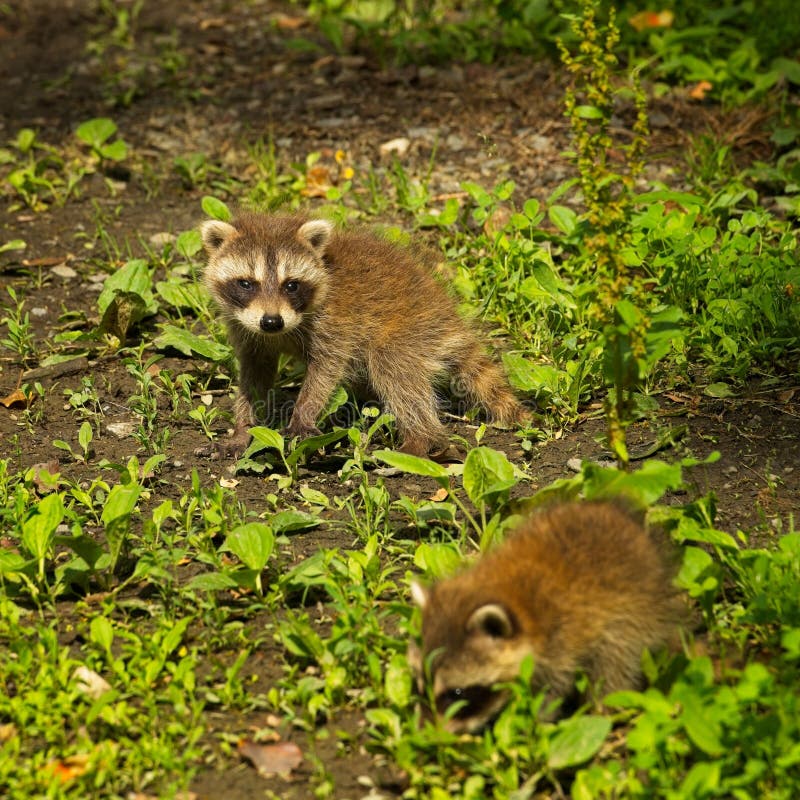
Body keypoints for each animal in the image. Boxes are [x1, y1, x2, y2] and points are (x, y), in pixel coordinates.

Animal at [200, 211, 527, 457]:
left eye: (291, 285)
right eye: (246, 283)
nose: (271, 322)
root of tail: (446, 314)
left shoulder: (335, 320)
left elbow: (327, 369)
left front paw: (303, 413)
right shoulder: (245, 328)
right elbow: (254, 377)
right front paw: (243, 427)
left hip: (413, 329)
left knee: (393, 368)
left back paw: (420, 438)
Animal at [409, 501, 685, 733]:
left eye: (457, 693)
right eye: (419, 684)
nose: (424, 733)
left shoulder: (559, 642)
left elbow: (550, 692)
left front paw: (532, 723)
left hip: (634, 612)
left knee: (616, 664)